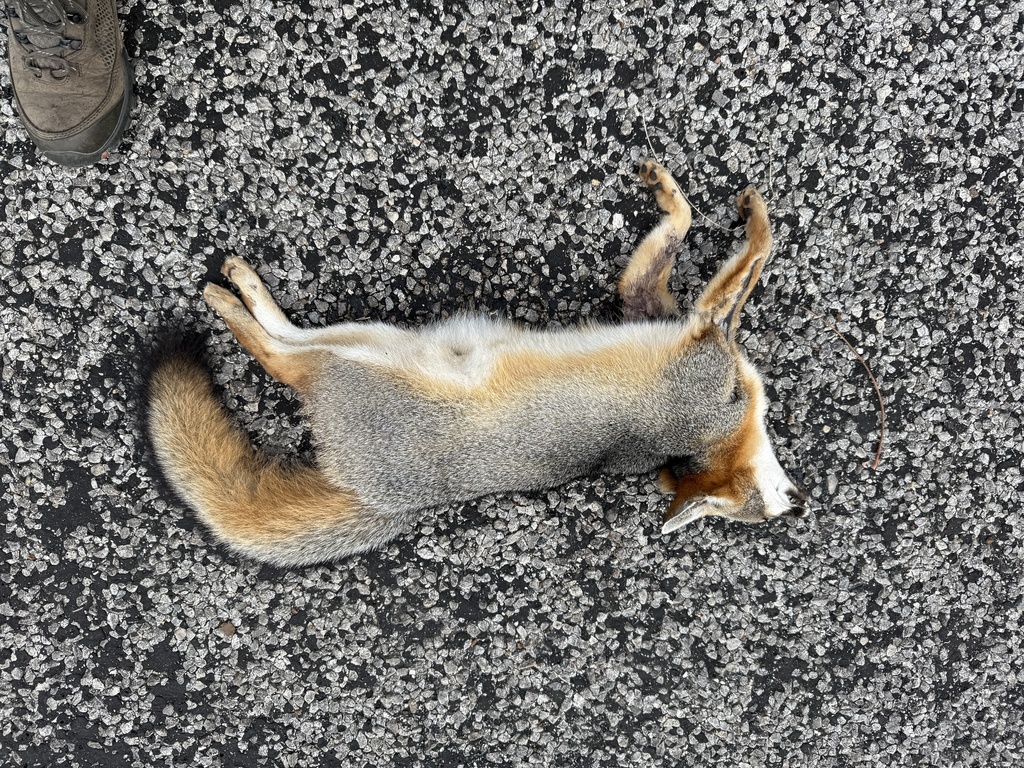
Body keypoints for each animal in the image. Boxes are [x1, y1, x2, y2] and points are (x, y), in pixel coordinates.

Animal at [144, 160, 807, 567]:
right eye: (762, 508)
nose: (801, 505)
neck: (716, 426)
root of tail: (379, 497)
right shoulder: (663, 310)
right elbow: (733, 248)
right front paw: (734, 209)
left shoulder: (690, 325)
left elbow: (740, 265)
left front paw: (742, 218)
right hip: (374, 341)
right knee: (283, 345)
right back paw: (239, 288)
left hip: (370, 349)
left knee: (281, 354)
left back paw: (231, 296)